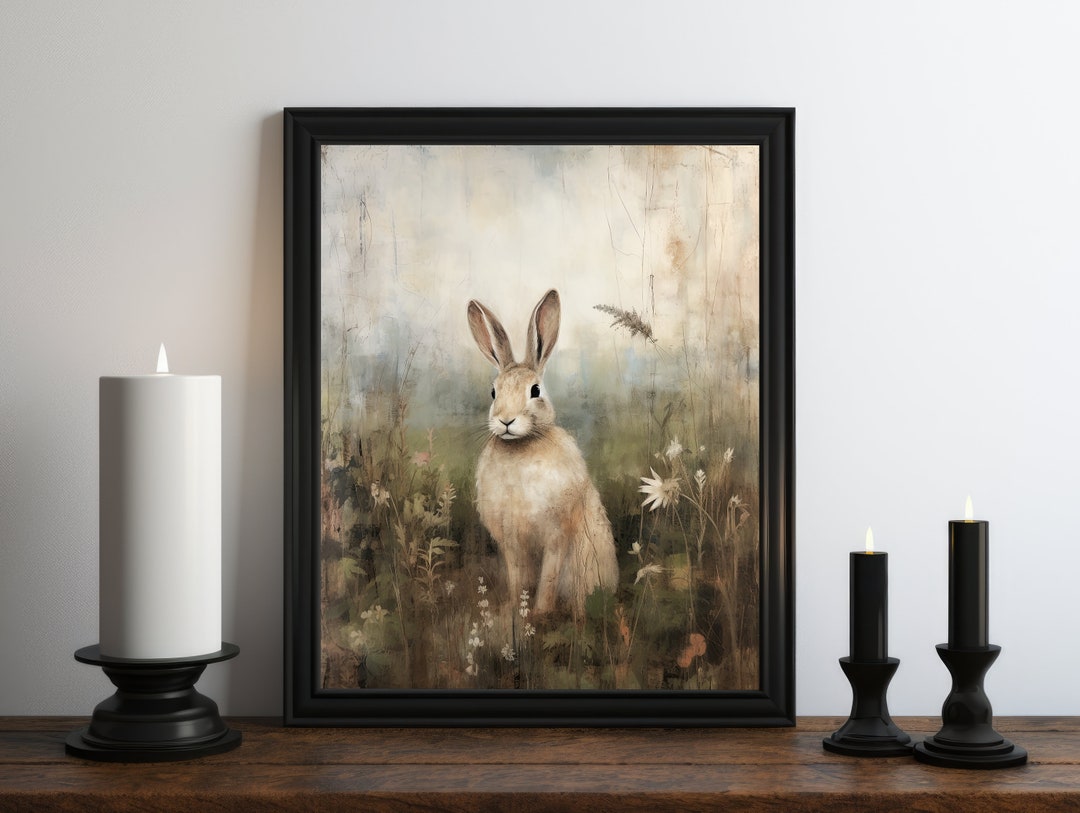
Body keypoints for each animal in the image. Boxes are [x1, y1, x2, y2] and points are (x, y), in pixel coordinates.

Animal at [467, 288, 620, 619]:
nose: (506, 421)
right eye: (493, 393)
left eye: (535, 391)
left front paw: (539, 613)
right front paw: (515, 608)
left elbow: (548, 577)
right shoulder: (512, 543)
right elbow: (517, 577)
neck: (520, 446)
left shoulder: (557, 534)